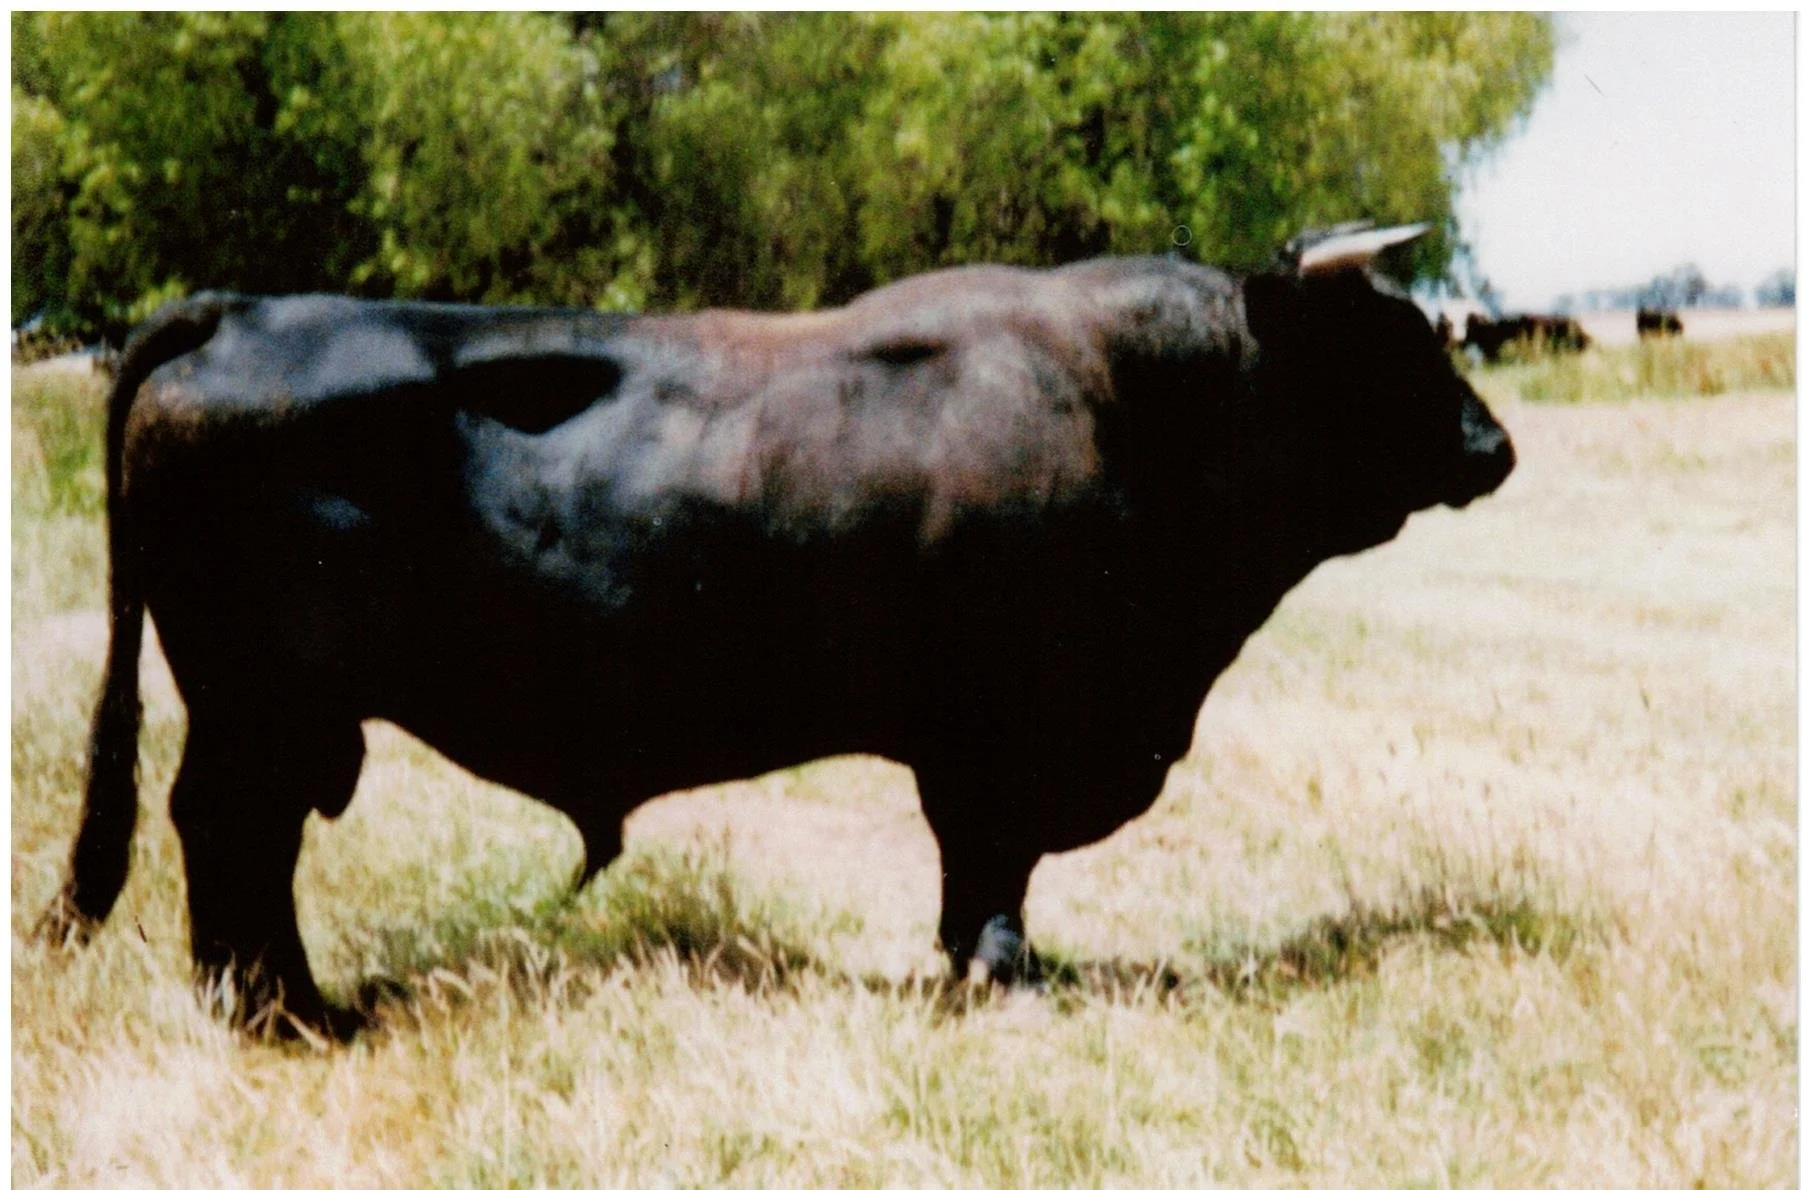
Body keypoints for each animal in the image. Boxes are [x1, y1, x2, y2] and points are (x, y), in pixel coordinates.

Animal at [37, 224, 1514, 1039]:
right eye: (1392, 344)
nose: (1493, 443)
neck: (1128, 401)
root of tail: (242, 308)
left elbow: (973, 872)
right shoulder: (998, 732)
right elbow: (991, 867)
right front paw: (1005, 982)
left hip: (271, 707)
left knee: (245, 841)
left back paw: (288, 1003)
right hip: (260, 703)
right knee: (229, 829)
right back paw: (281, 1015)